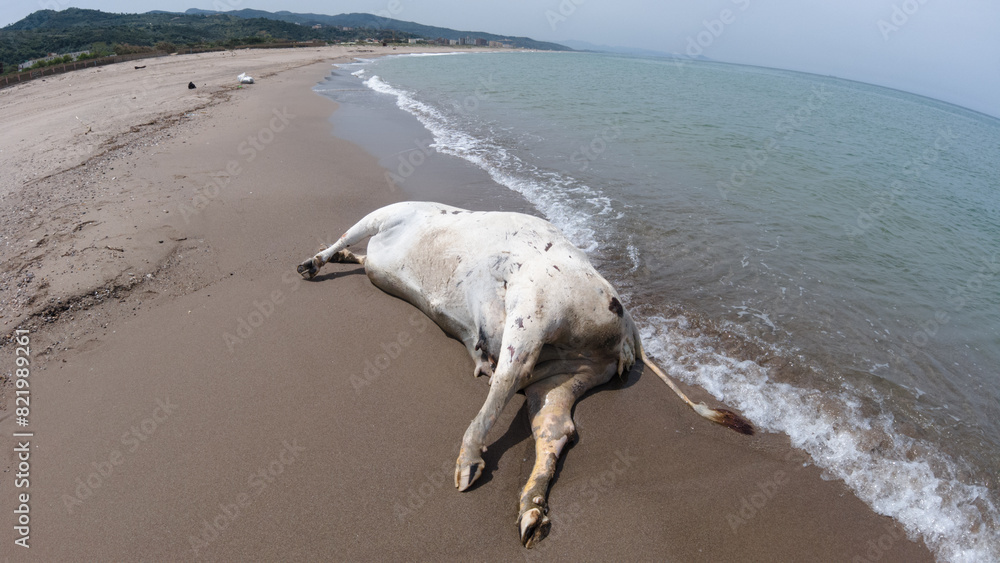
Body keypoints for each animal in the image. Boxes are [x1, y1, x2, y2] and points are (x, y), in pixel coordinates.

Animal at [297, 201, 752, 548]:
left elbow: (345, 236)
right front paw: (334, 258)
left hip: (533, 313)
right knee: (555, 427)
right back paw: (532, 513)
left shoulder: (389, 213)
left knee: (501, 388)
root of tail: (630, 329)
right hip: (568, 372)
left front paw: (313, 262)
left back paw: (469, 464)